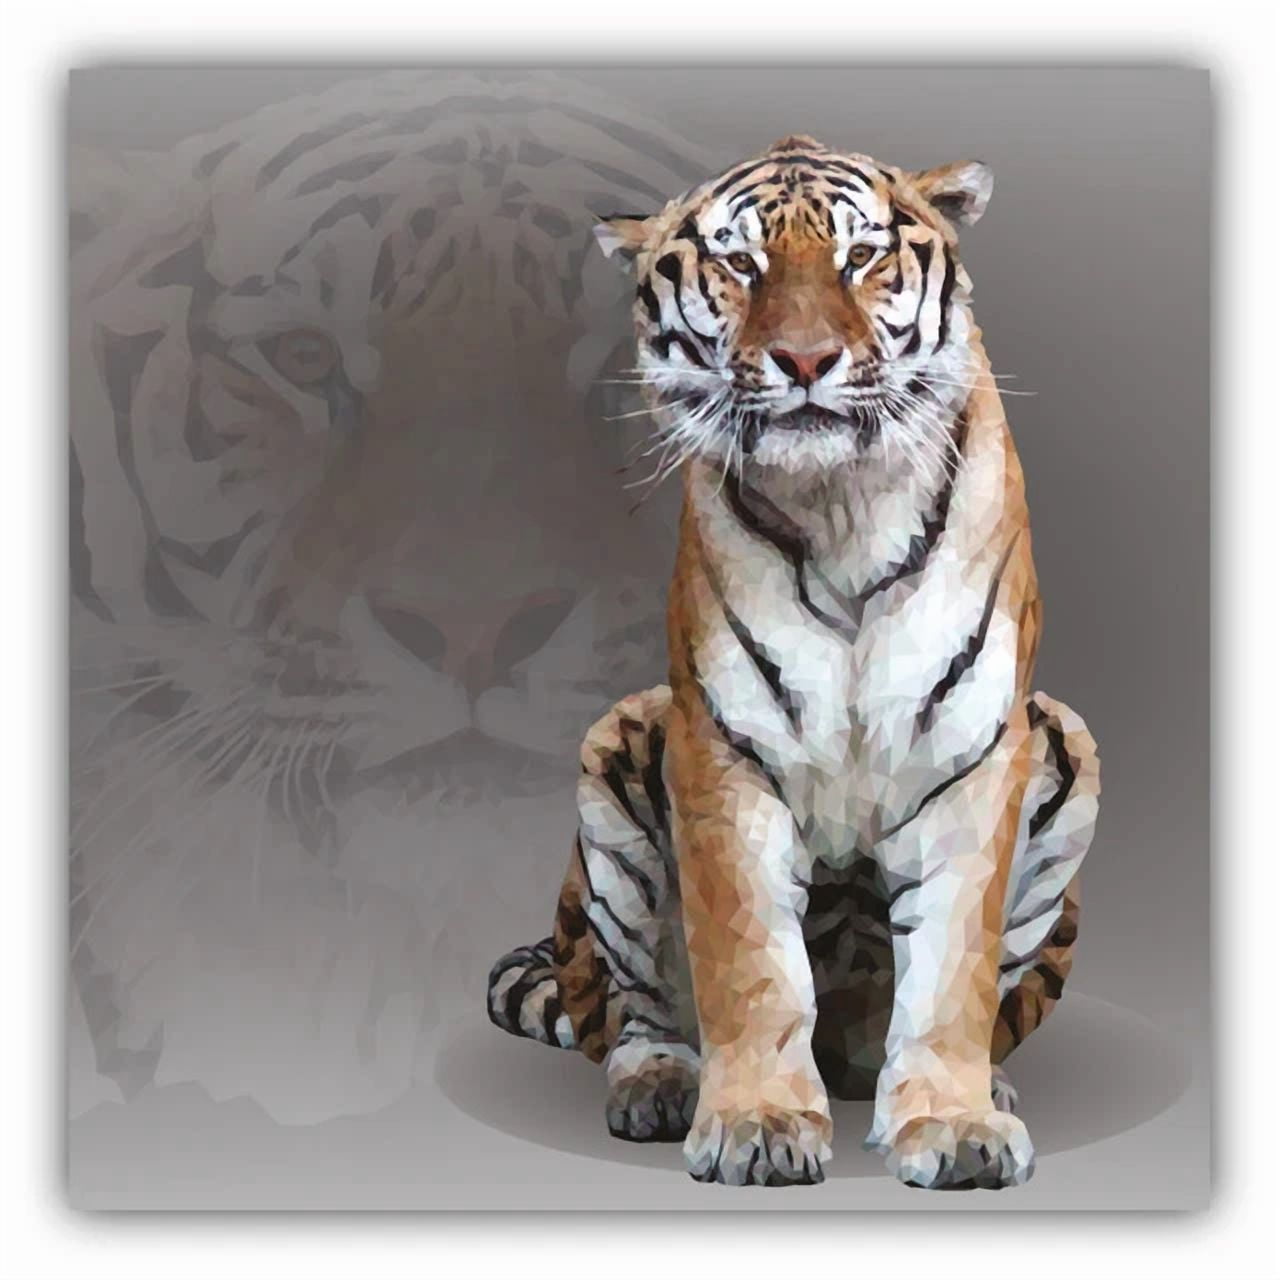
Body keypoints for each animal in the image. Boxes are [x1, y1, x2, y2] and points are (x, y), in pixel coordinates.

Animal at [487, 134, 1101, 1190]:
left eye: (860, 259)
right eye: (741, 265)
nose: (807, 359)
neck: (841, 506)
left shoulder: (978, 753)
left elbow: (954, 970)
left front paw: (955, 1124)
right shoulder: (723, 747)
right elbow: (751, 964)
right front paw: (759, 1125)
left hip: (1068, 739)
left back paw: (982, 1085)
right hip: (617, 752)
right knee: (628, 1010)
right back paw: (658, 1085)